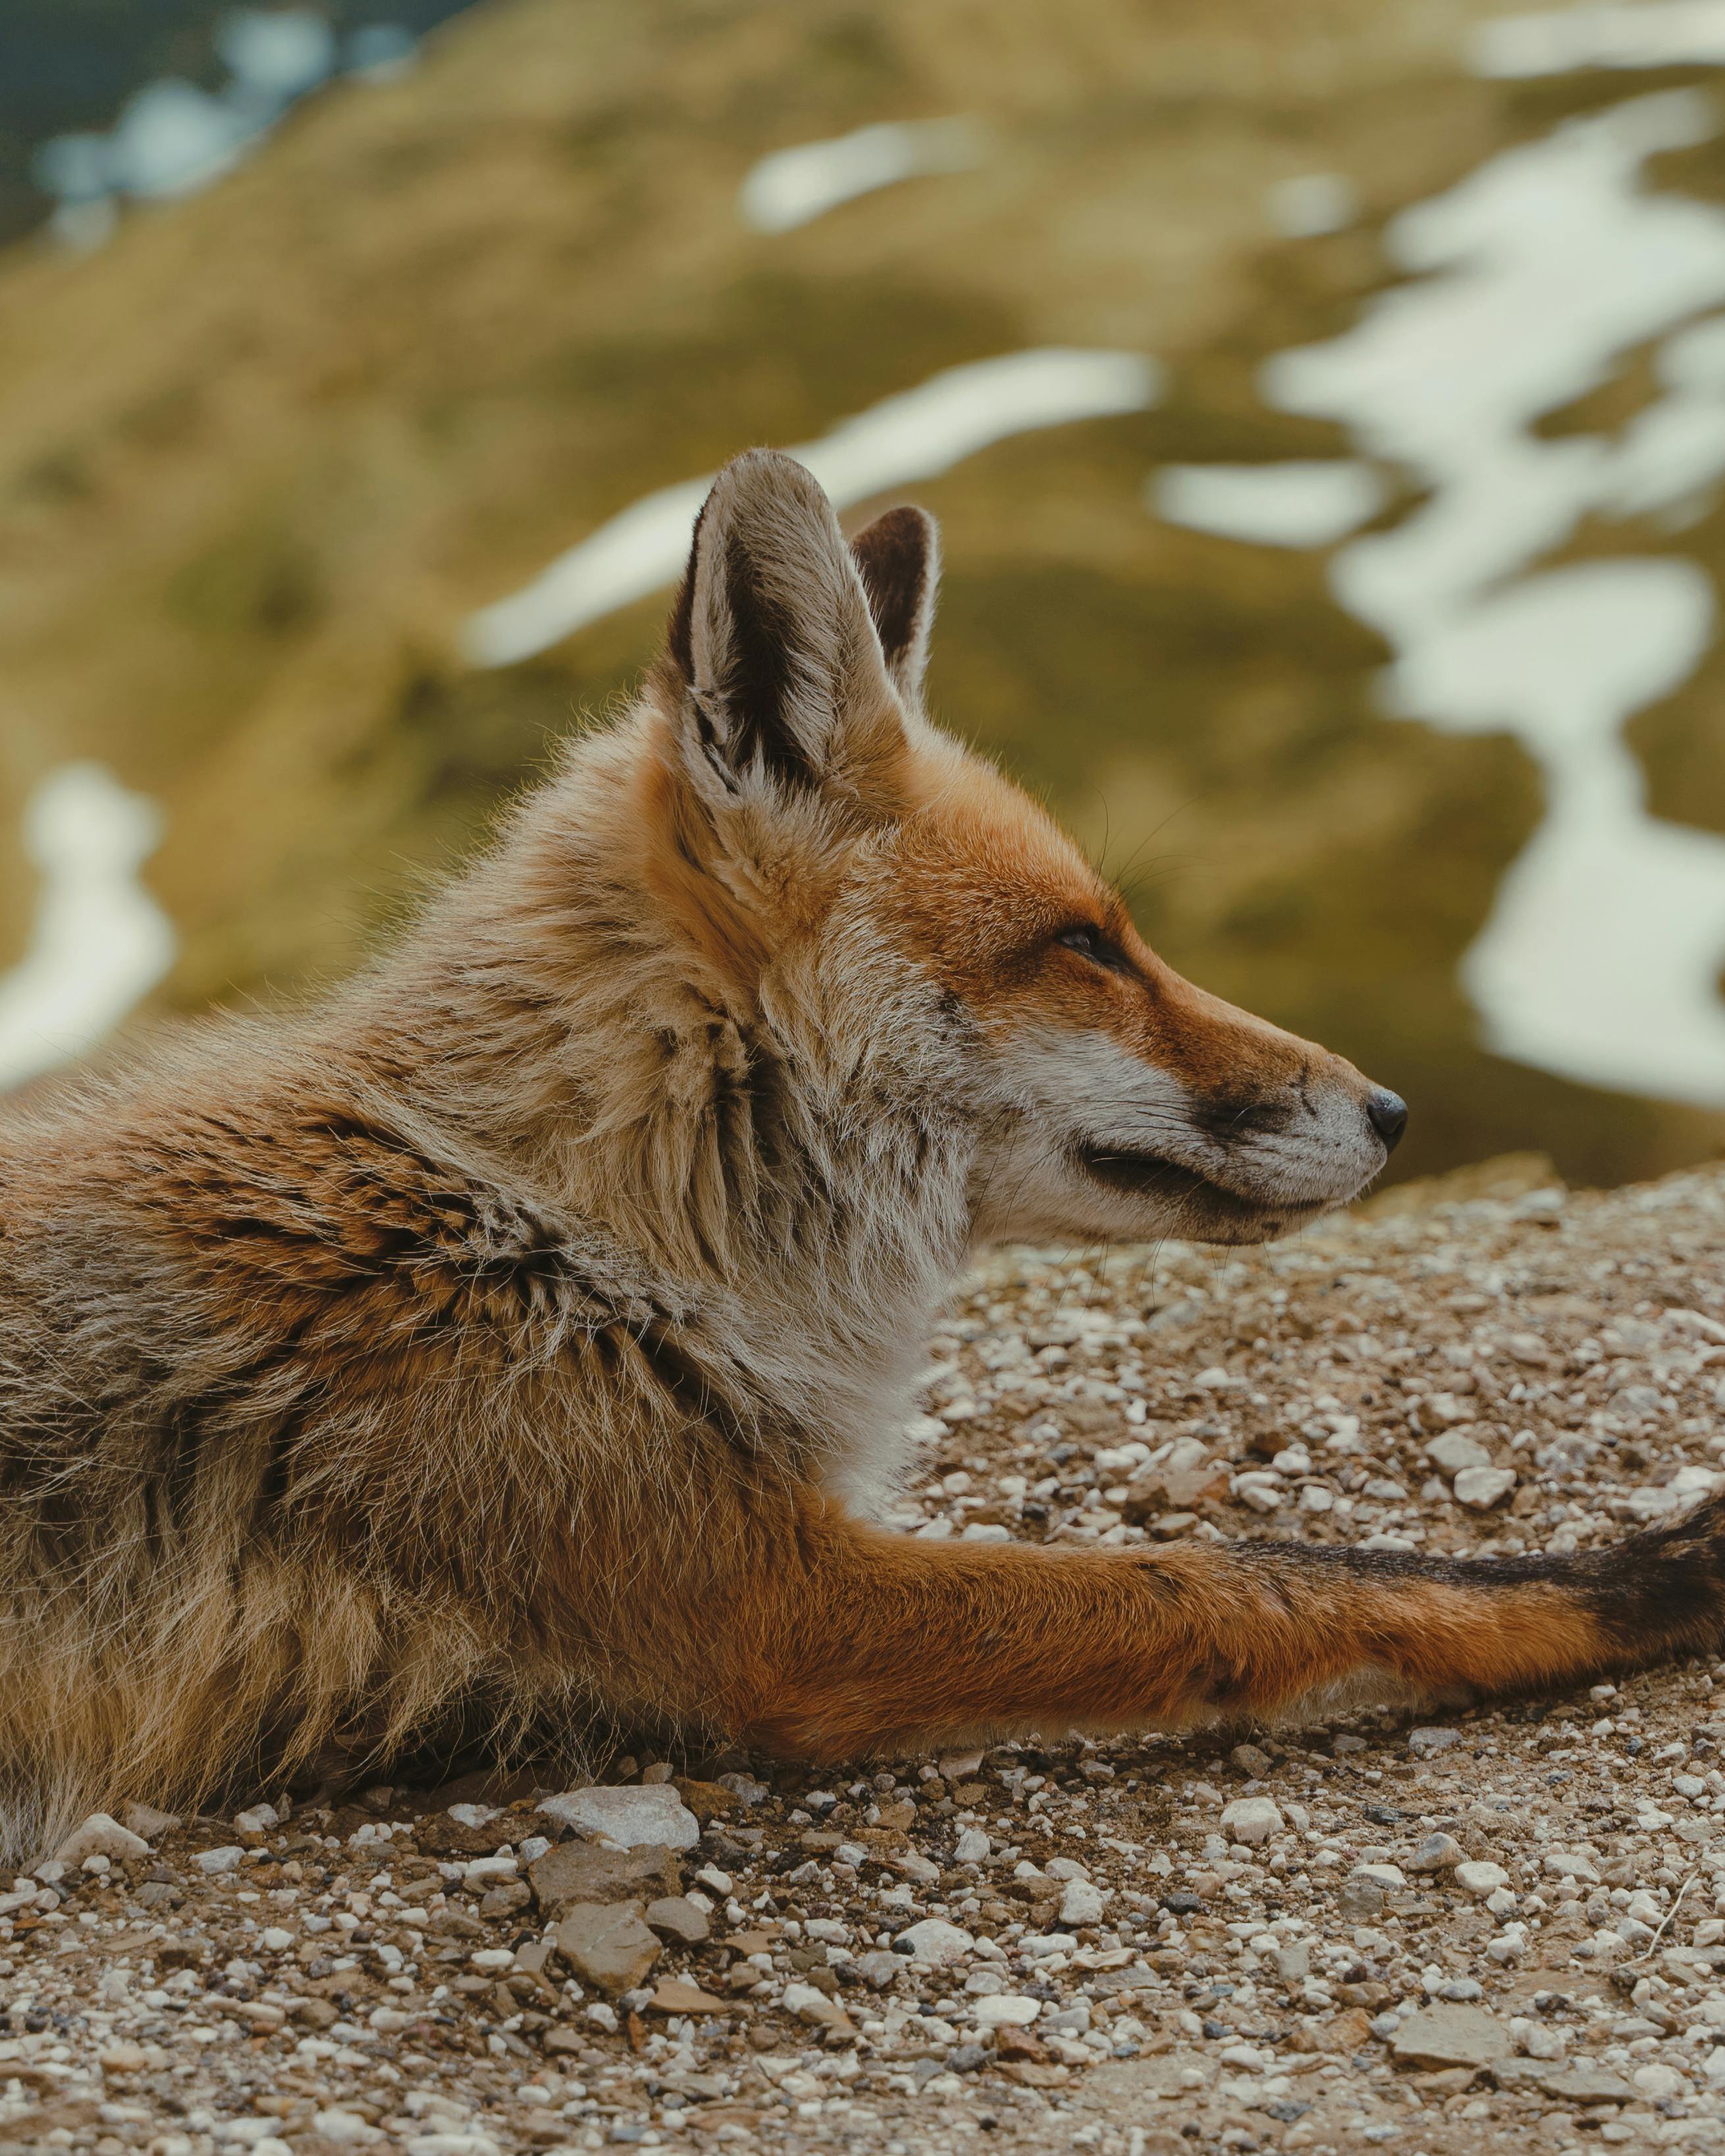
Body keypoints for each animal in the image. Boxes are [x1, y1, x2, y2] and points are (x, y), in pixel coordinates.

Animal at [0, 446, 1719, 1865]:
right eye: (1085, 944)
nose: (1391, 1111)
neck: (558, 1213)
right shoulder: (777, 1603)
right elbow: (1259, 1572)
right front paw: (1630, 1578)